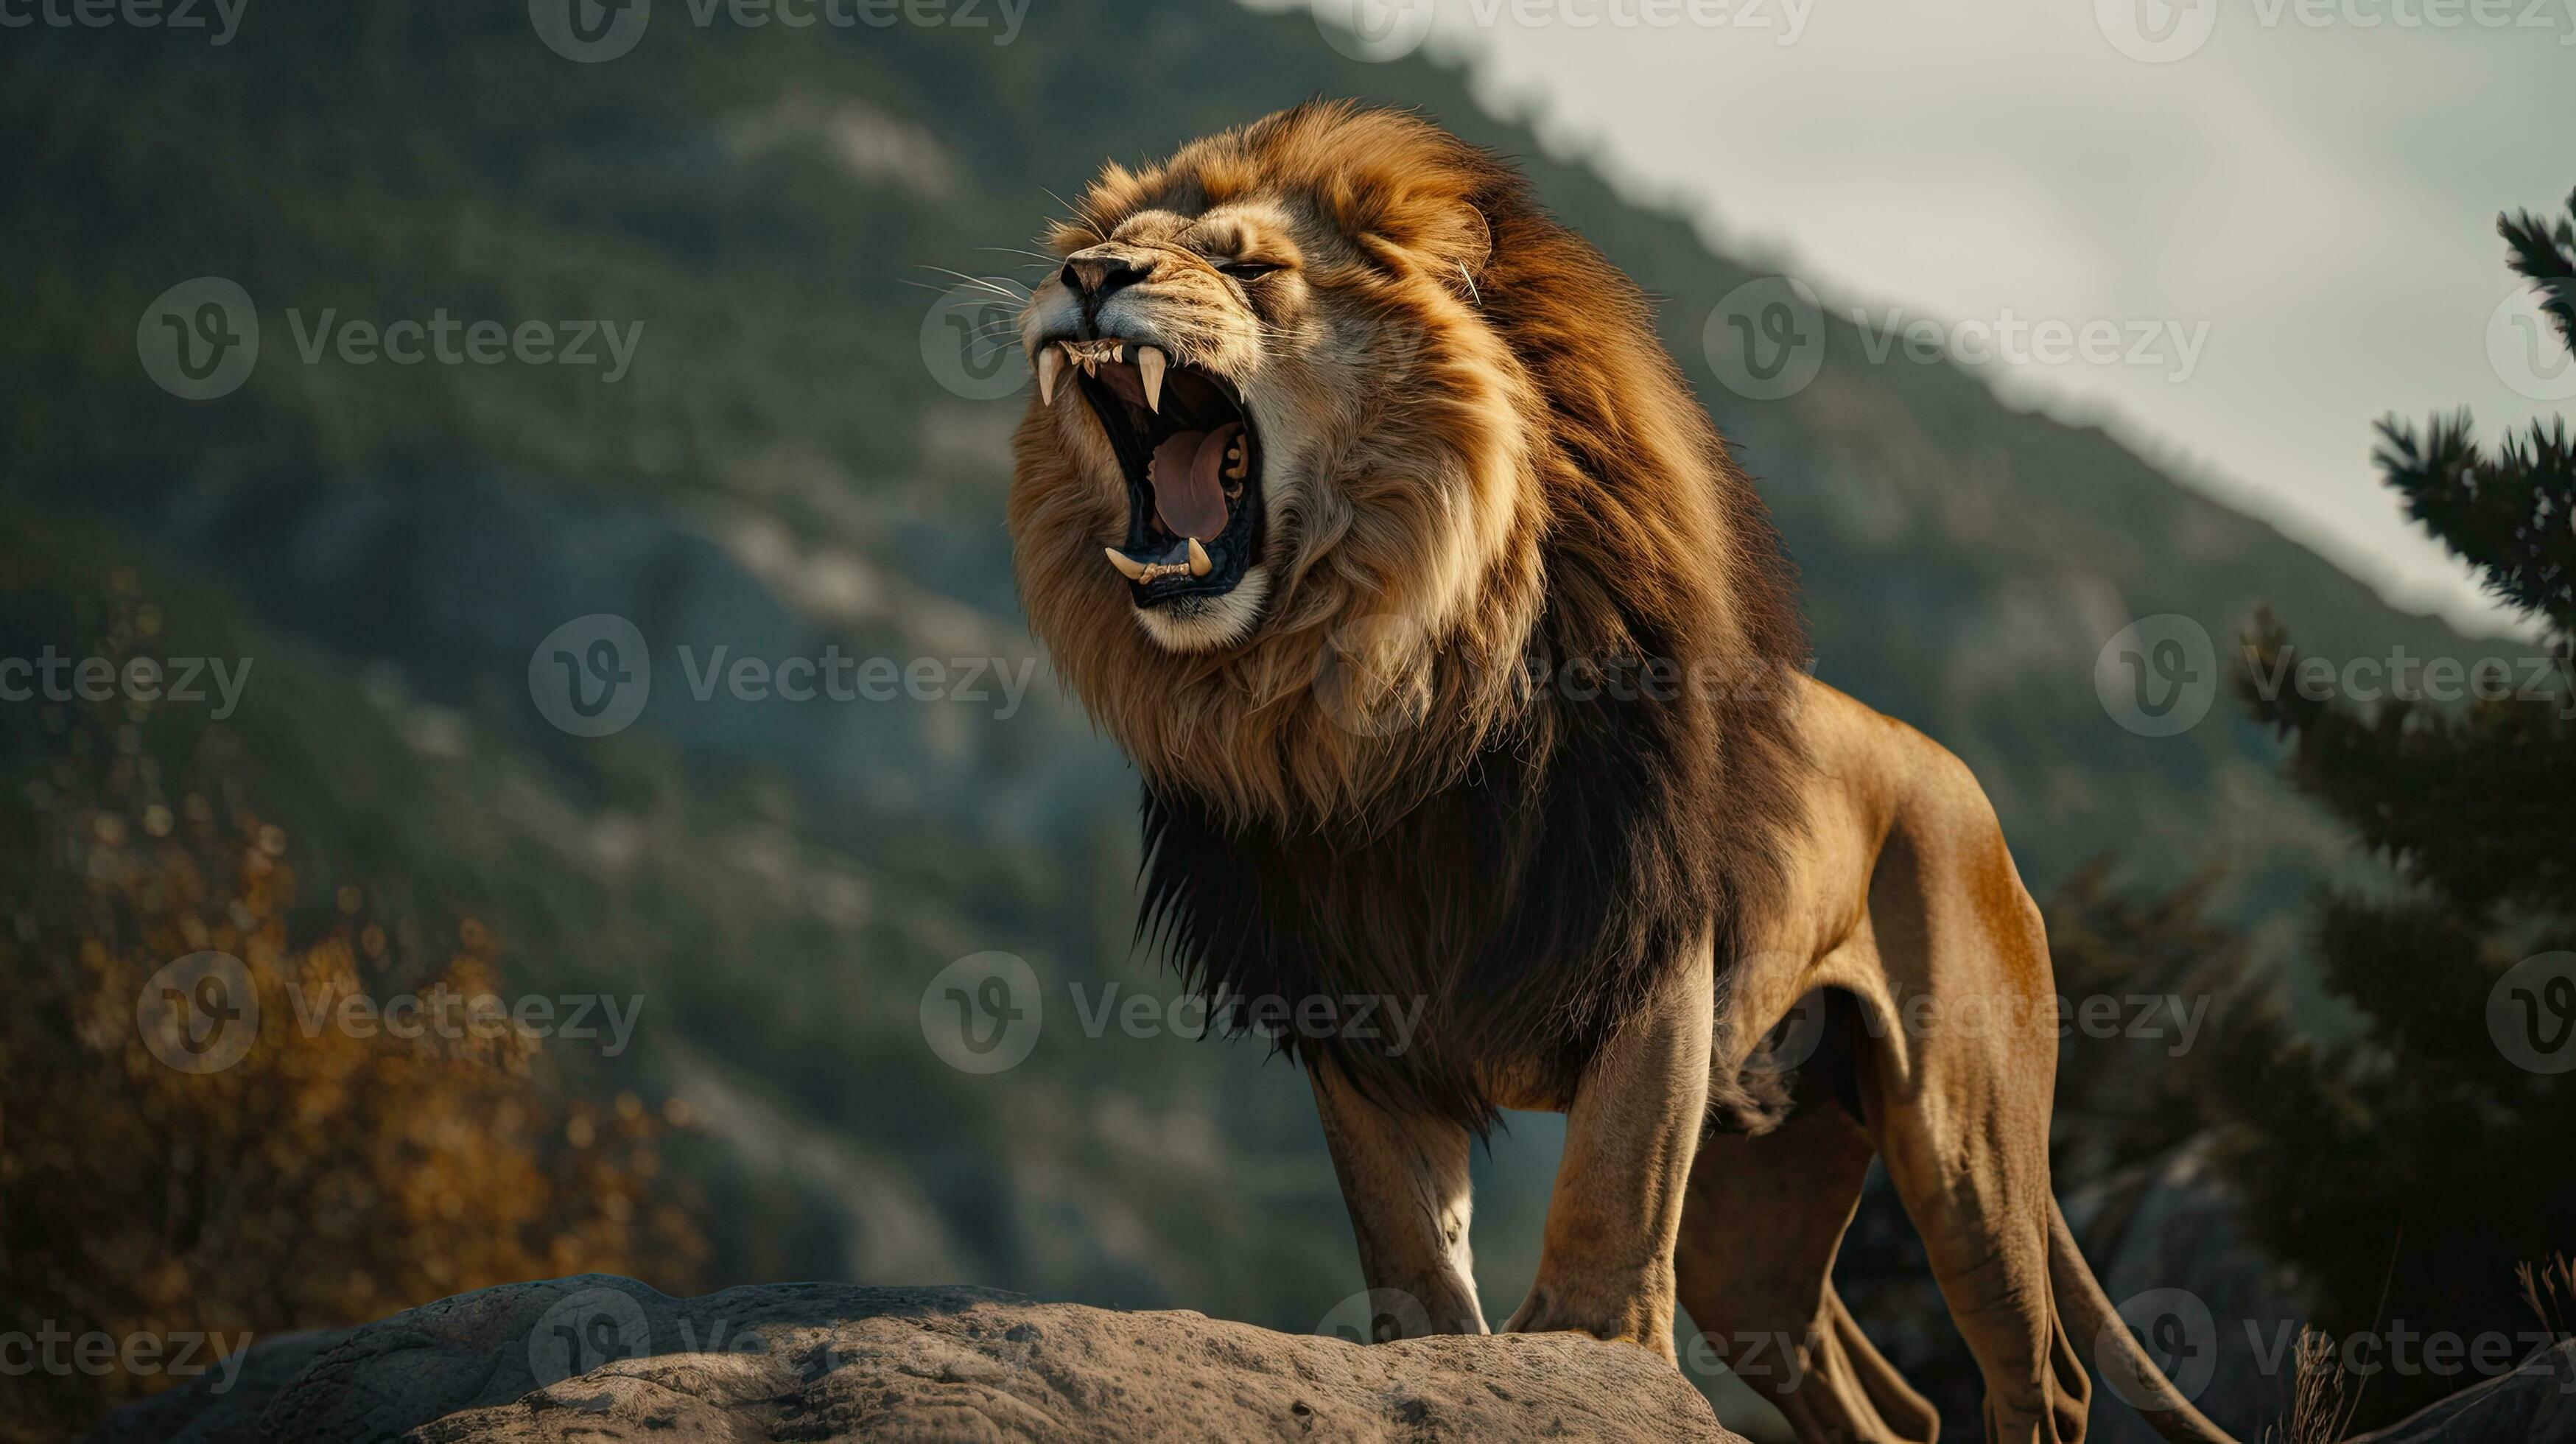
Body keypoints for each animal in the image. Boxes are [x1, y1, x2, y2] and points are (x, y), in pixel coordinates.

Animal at [1005, 102, 2234, 1444]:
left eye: (1248, 267)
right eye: (1102, 246)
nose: (1088, 278)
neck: (1381, 692)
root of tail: (1961, 787)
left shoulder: (1650, 949)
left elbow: (1611, 1184)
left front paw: (1584, 1349)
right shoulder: (1352, 1002)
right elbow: (1408, 1247)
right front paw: (1444, 1365)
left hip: (1960, 1137)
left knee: (2039, 1371)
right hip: (1757, 1211)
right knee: (1889, 1404)